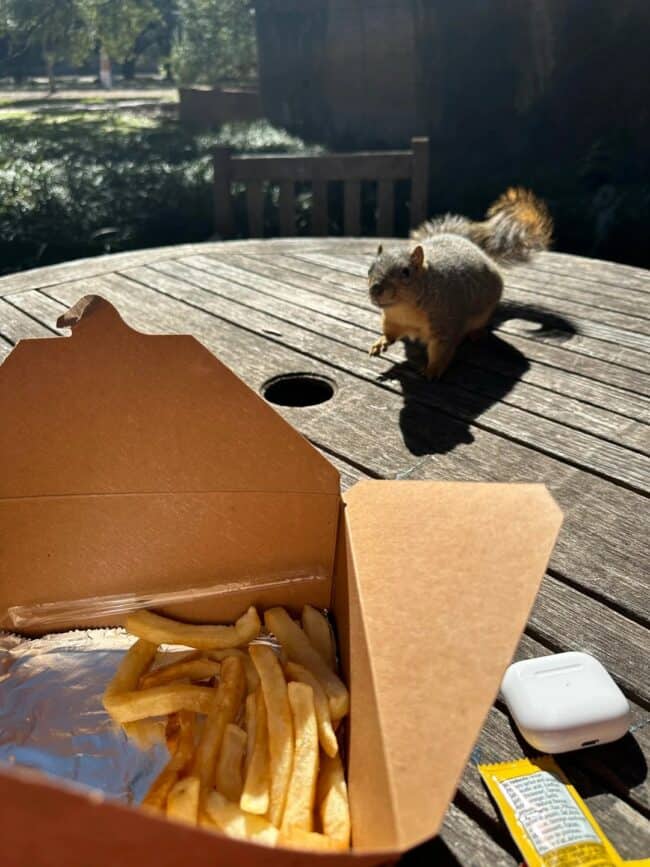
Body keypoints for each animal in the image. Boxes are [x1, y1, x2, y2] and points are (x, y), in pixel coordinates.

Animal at [367, 187, 553, 379]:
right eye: (369, 270)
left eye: (406, 272)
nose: (375, 289)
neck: (405, 310)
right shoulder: (392, 320)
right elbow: (390, 333)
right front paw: (381, 342)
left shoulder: (447, 325)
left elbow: (441, 352)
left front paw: (432, 371)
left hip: (484, 311)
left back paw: (476, 333)